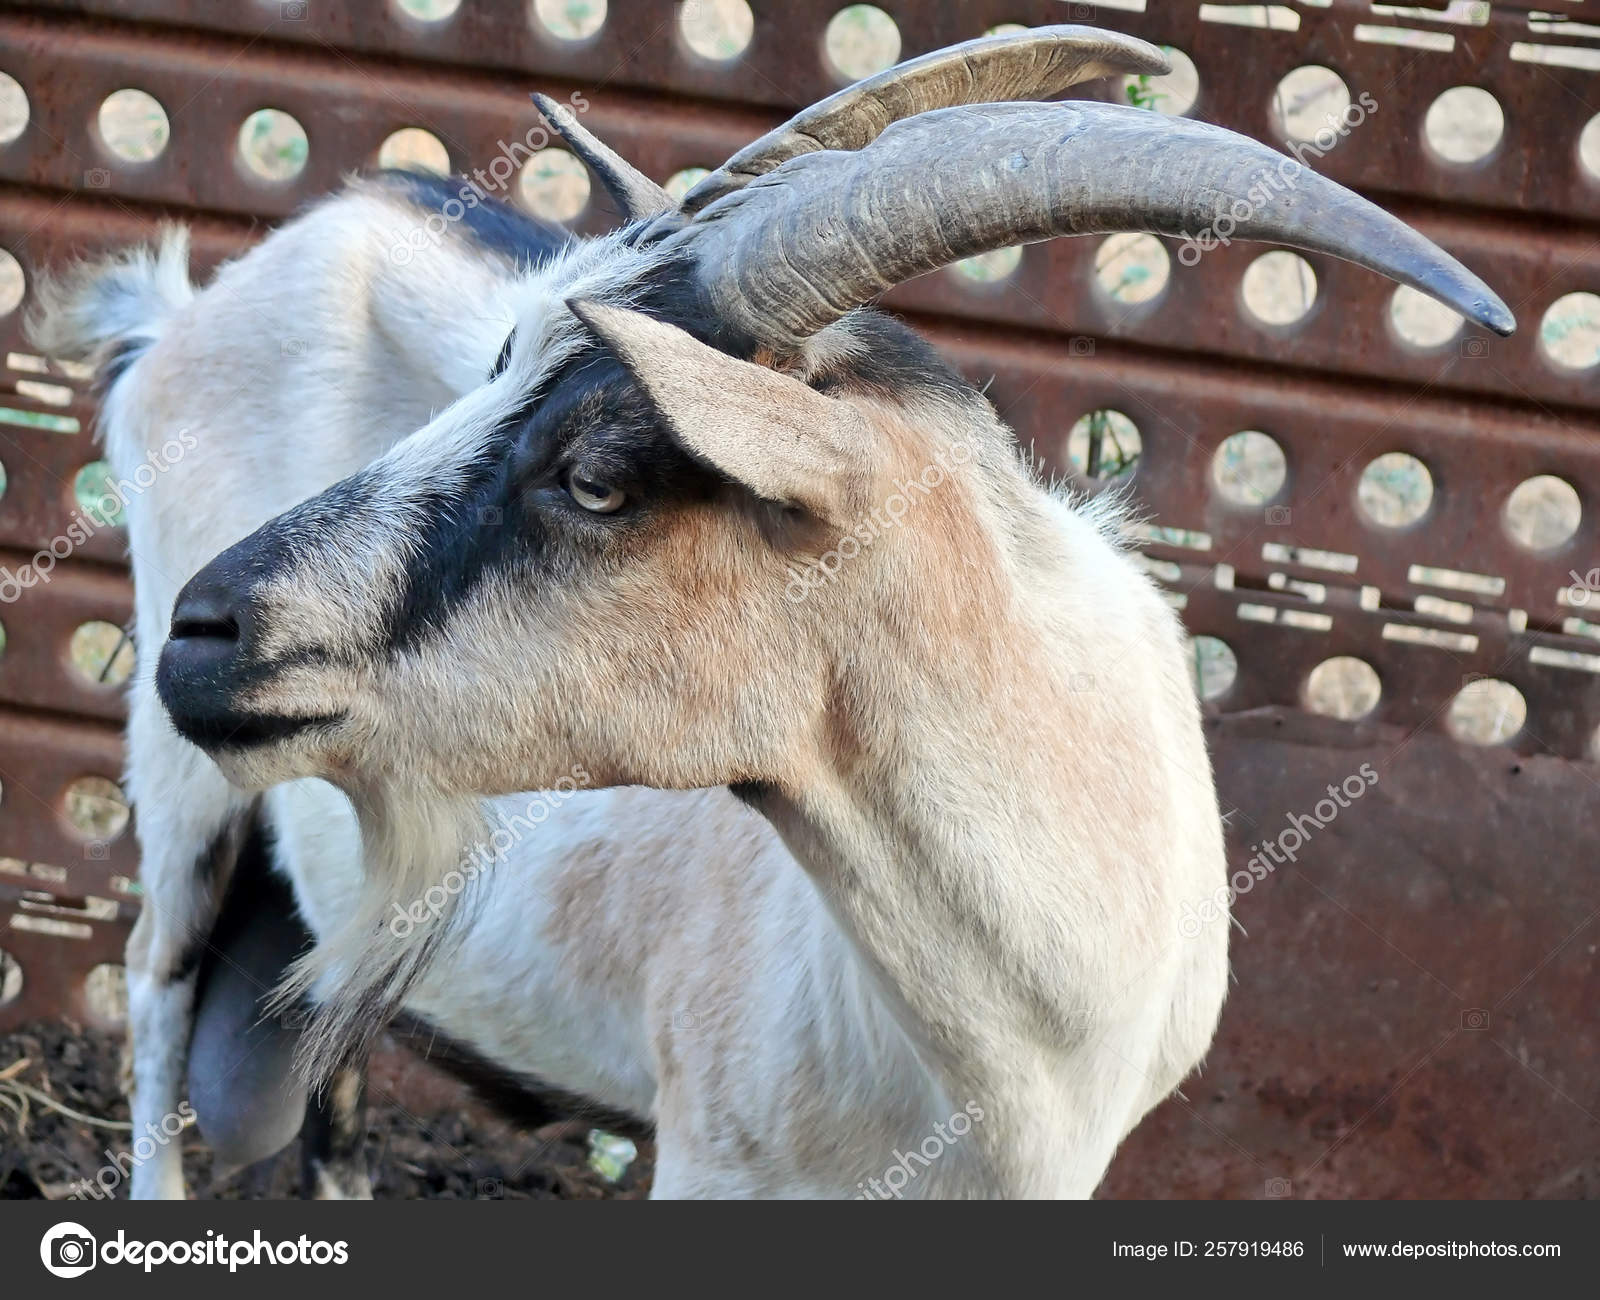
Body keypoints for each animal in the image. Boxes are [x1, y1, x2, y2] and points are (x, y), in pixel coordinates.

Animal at [33, 25, 1513, 1199]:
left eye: (596, 476)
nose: (210, 632)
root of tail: (182, 311)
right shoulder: (717, 1159)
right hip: (184, 794)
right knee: (158, 996)